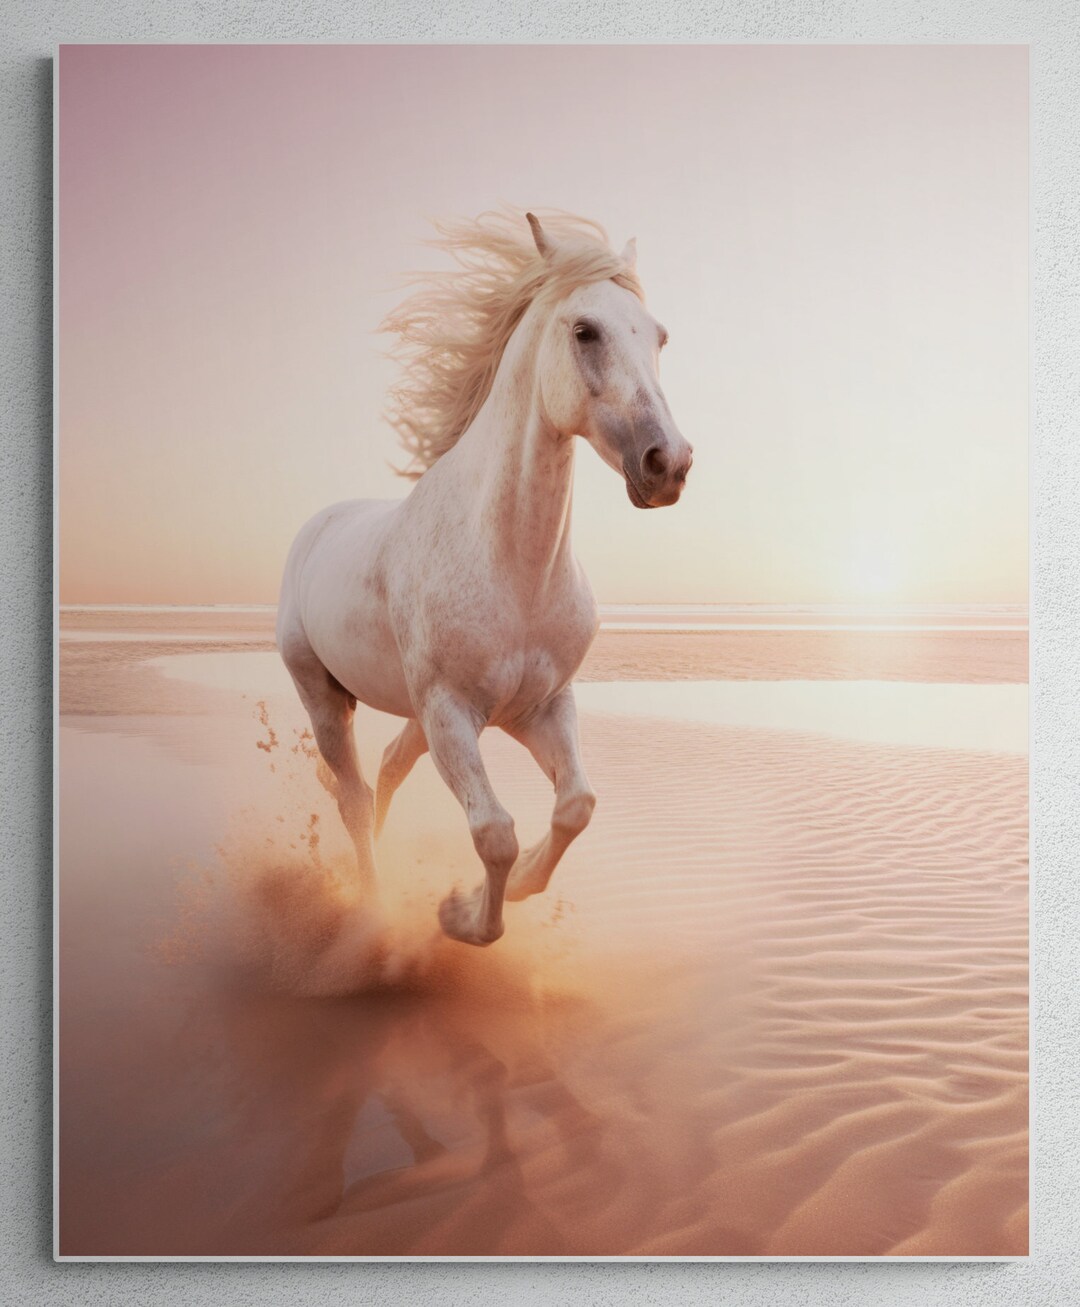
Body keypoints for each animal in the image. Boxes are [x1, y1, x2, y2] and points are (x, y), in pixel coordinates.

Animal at [276, 209, 692, 946]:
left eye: (659, 336)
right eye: (585, 331)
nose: (667, 464)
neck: (512, 565)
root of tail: (319, 524)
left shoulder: (538, 707)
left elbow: (577, 805)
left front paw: (516, 887)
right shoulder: (451, 712)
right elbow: (494, 831)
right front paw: (461, 915)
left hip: (415, 714)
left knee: (388, 767)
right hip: (323, 696)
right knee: (353, 796)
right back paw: (372, 908)